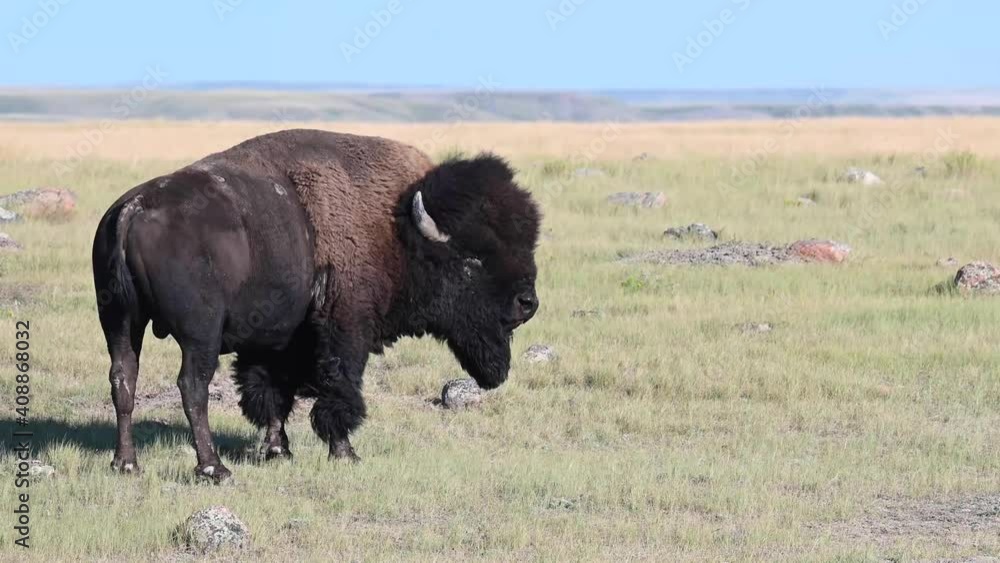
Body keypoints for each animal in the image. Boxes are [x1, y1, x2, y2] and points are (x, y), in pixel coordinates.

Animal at [92, 129, 540, 481]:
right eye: (472, 259)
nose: (528, 303)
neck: (398, 228)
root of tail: (133, 208)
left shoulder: (275, 339)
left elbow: (269, 390)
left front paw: (279, 450)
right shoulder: (345, 329)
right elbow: (337, 387)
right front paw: (345, 452)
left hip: (120, 323)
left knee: (123, 379)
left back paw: (126, 464)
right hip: (198, 334)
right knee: (192, 386)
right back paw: (214, 469)